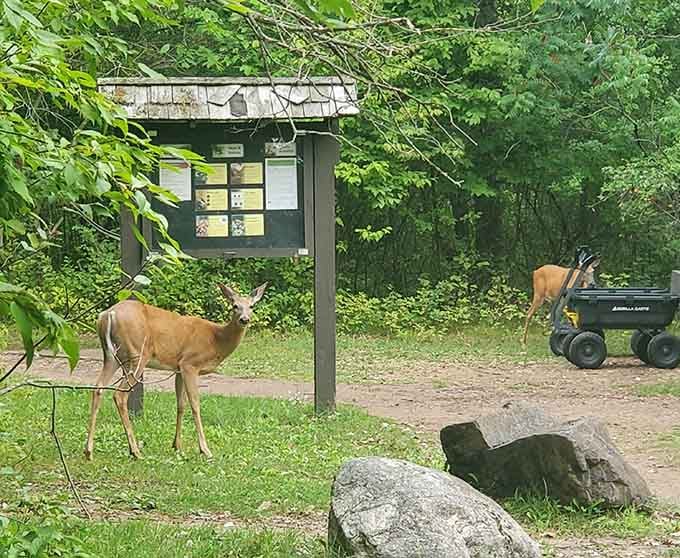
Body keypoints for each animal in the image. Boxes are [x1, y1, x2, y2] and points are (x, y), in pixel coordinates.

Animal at [84, 282, 267, 460]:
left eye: (251, 306)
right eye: (235, 306)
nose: (244, 319)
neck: (216, 340)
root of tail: (108, 314)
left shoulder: (178, 368)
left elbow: (180, 404)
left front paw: (177, 445)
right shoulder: (190, 364)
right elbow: (195, 404)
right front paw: (204, 449)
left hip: (112, 356)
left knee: (98, 387)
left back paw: (89, 451)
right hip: (137, 355)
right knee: (119, 395)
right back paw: (135, 451)